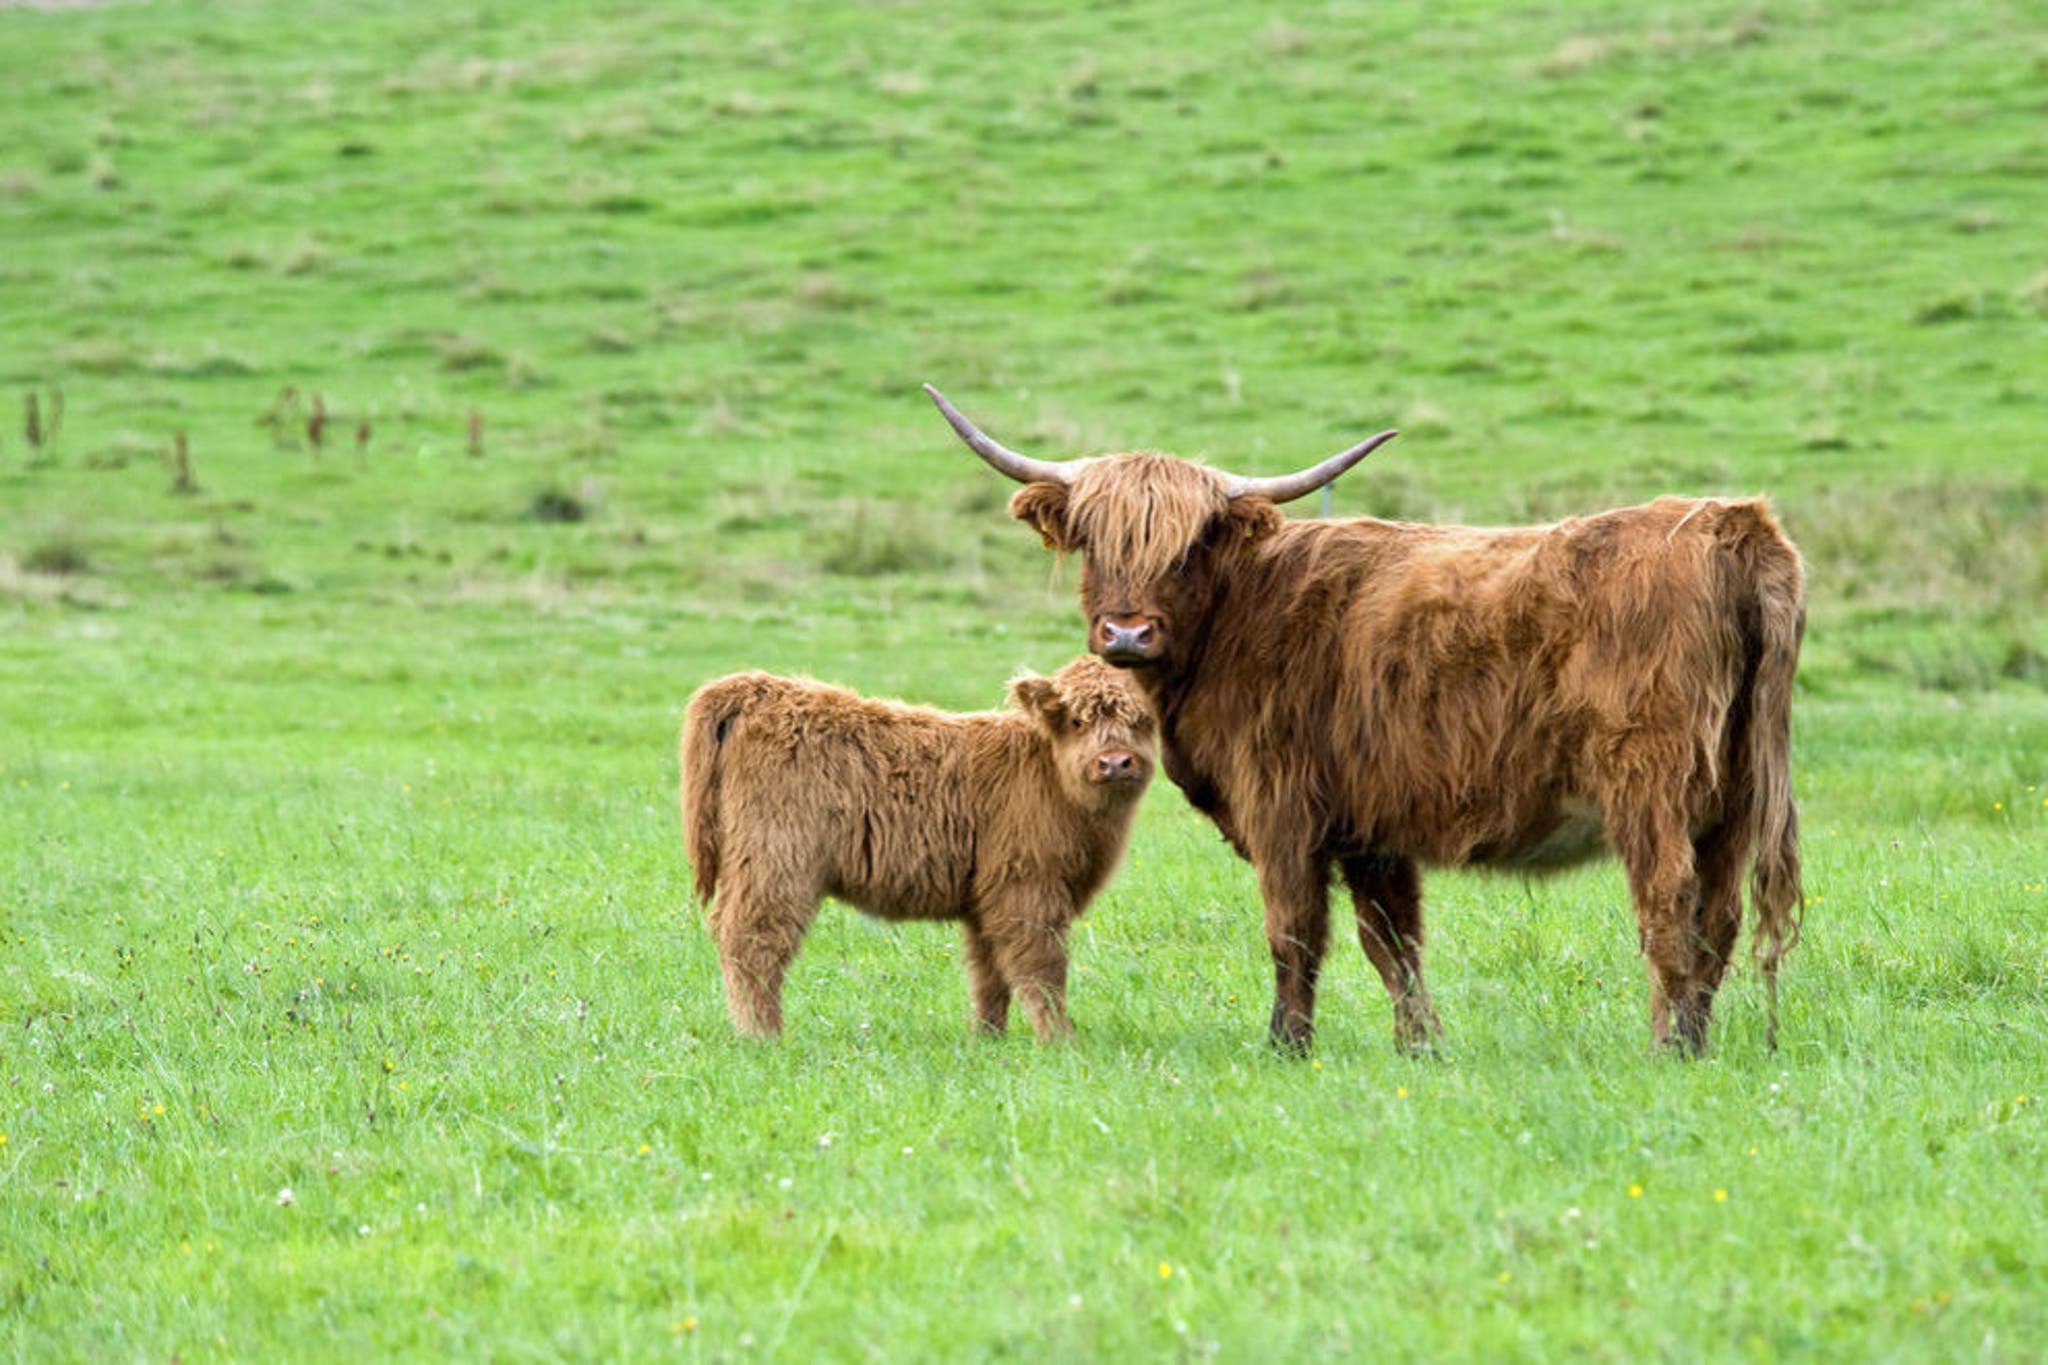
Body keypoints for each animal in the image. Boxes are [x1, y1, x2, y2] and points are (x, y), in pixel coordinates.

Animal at [680, 657, 1155, 1040]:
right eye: (1077, 721)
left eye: (1143, 720)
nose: (1115, 762)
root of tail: (761, 687)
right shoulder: (1026, 890)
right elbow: (1041, 968)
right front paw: (1059, 1040)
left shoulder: (986, 901)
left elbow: (989, 973)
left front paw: (988, 1040)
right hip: (777, 861)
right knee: (752, 941)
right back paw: (763, 1037)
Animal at [925, 384, 1805, 1056]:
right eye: (1092, 537)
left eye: (1190, 544)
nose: (1127, 634)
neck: (1240, 614)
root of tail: (1731, 523)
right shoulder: (1373, 827)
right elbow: (1394, 942)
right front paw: (1422, 1047)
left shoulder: (1283, 808)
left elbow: (1294, 931)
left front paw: (1286, 1046)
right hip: (1736, 795)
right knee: (1719, 916)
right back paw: (1696, 1039)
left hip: (1652, 785)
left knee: (1669, 906)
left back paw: (1667, 1047)